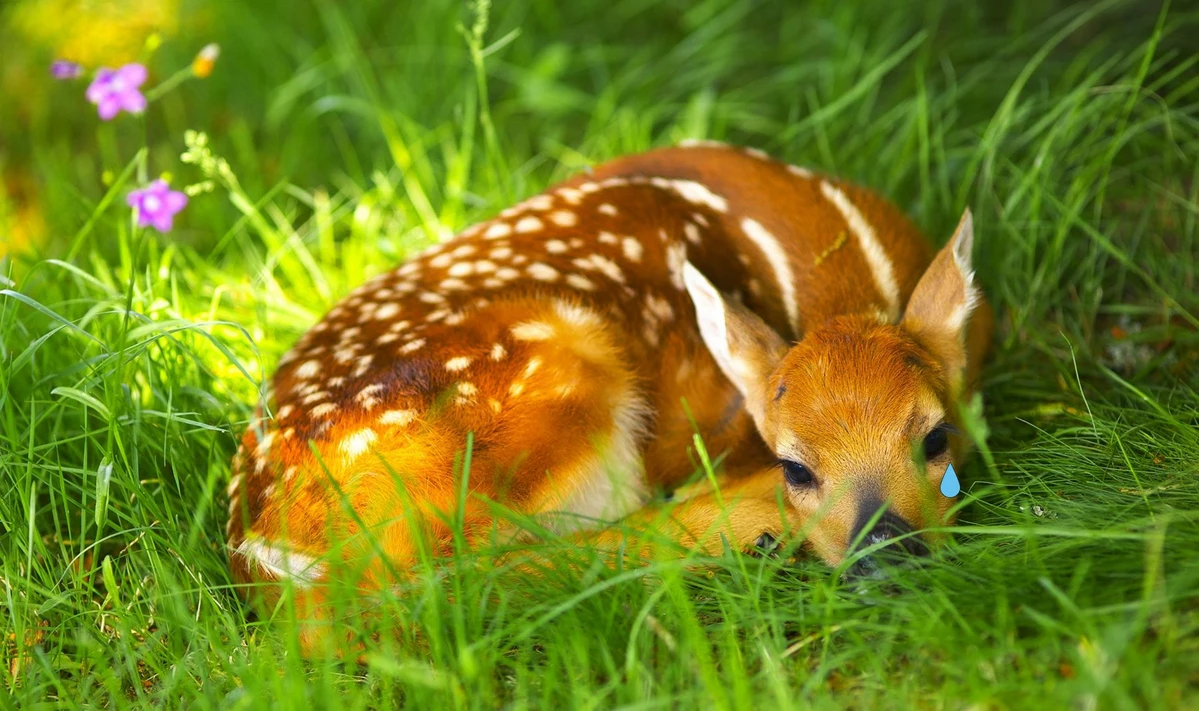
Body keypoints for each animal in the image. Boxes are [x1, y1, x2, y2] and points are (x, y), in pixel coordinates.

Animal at [225, 141, 992, 649]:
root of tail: (263, 548)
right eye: (795, 467)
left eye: (937, 436)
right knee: (450, 586)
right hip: (549, 361)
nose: (888, 557)